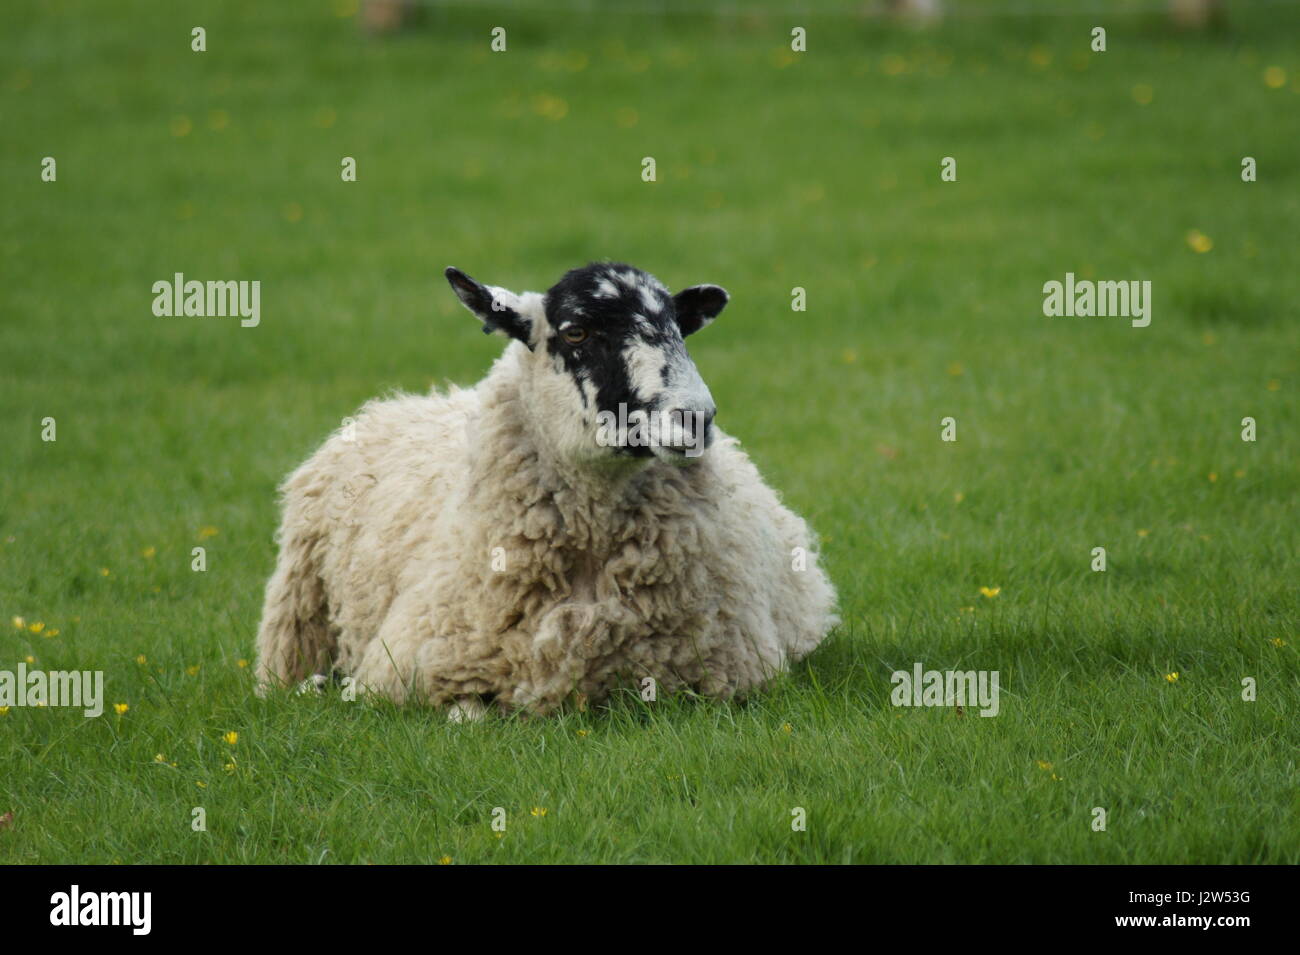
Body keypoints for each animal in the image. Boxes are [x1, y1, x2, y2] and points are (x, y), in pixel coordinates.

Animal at [254, 262, 837, 717]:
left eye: (678, 328)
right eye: (575, 332)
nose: (695, 418)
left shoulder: (730, 675)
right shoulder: (406, 668)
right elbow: (467, 713)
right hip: (296, 617)